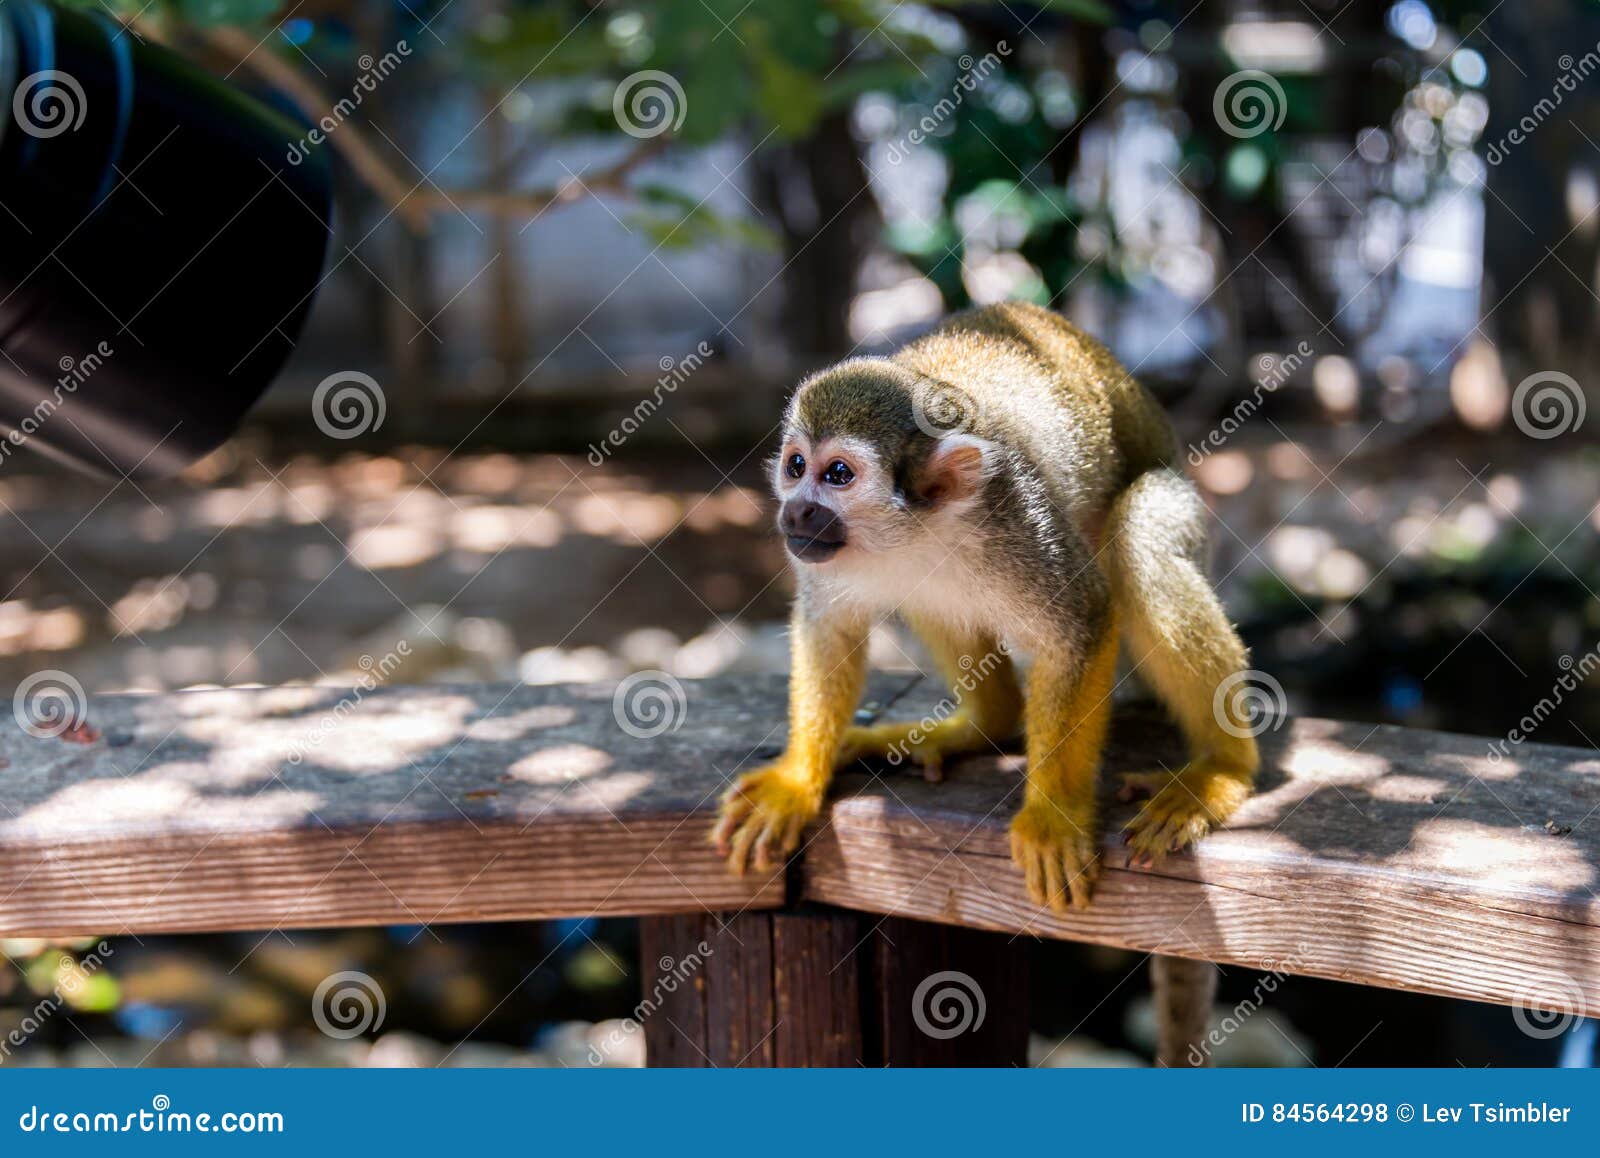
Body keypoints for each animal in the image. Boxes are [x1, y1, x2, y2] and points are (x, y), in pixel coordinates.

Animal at [710, 301, 1260, 912]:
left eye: (837, 475)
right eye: (795, 466)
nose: (797, 513)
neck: (915, 531)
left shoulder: (1017, 518)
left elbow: (1083, 620)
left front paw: (1052, 818)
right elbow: (828, 629)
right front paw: (795, 783)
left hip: (1186, 514)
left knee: (1136, 538)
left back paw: (1219, 768)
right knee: (931, 599)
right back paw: (984, 726)